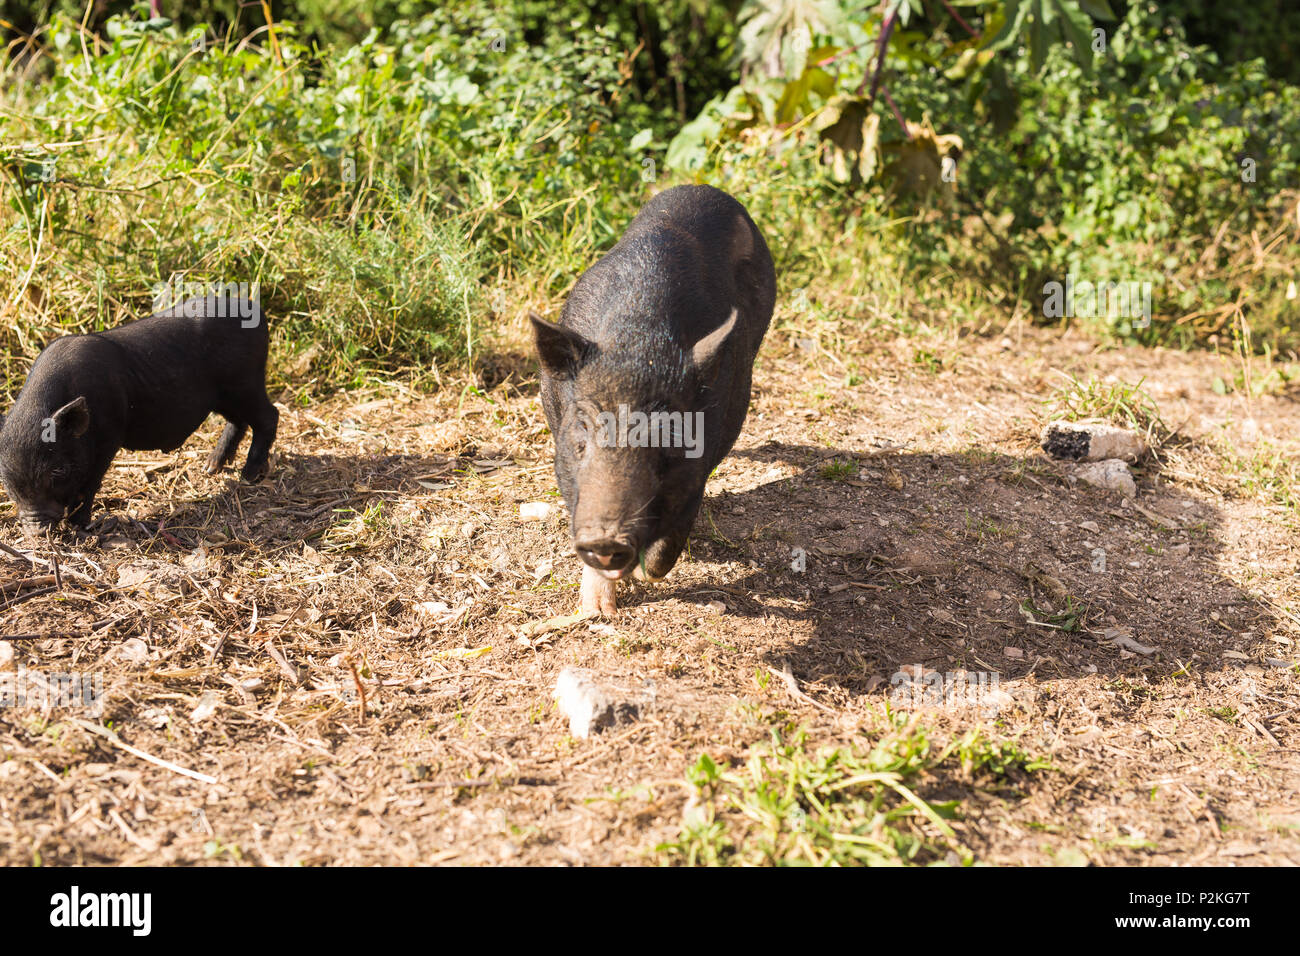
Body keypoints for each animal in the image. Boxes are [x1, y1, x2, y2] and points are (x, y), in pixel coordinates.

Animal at [0, 289, 277, 535]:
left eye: (58, 471)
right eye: (6, 478)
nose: (35, 531)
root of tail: (258, 312)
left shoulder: (110, 436)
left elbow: (89, 484)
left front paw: (80, 526)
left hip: (246, 383)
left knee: (269, 415)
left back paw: (249, 475)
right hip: (224, 397)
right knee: (240, 421)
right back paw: (211, 467)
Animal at [531, 184, 776, 615]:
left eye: (664, 449)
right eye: (580, 445)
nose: (606, 538)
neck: (637, 340)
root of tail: (703, 188)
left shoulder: (699, 463)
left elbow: (671, 541)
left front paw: (645, 576)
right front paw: (597, 612)